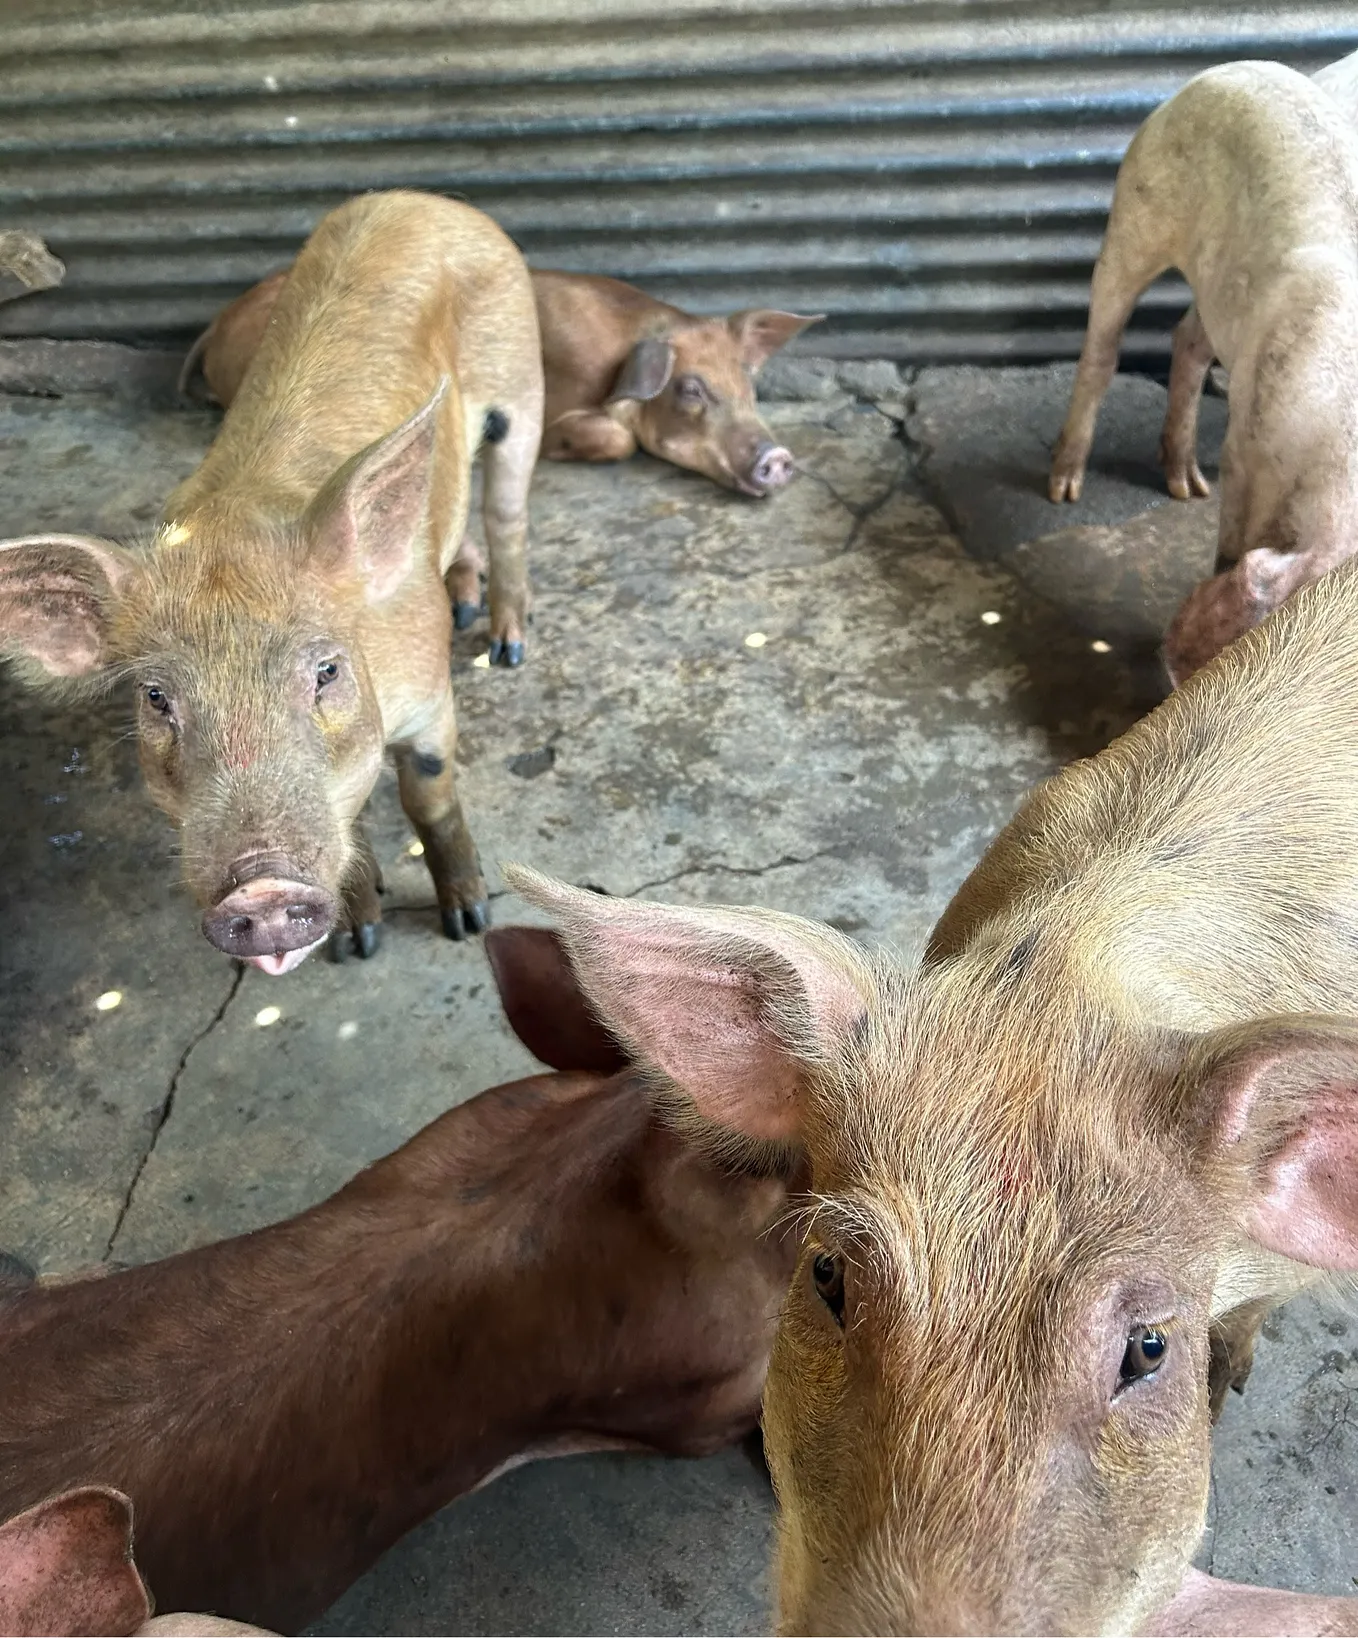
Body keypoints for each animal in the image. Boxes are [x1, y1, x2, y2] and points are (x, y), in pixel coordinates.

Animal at [0, 190, 544, 972]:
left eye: (327, 670)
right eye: (156, 698)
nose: (260, 890)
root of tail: (418, 199)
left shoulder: (430, 693)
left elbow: (429, 798)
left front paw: (467, 923)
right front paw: (358, 943)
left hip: (521, 386)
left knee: (507, 514)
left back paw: (504, 645)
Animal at [1046, 62, 1358, 682]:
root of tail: (1226, 71)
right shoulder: (1247, 439)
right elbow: (1233, 544)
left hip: (1222, 292)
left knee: (1188, 338)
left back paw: (1185, 485)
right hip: (1137, 211)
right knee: (1102, 345)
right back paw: (1067, 486)